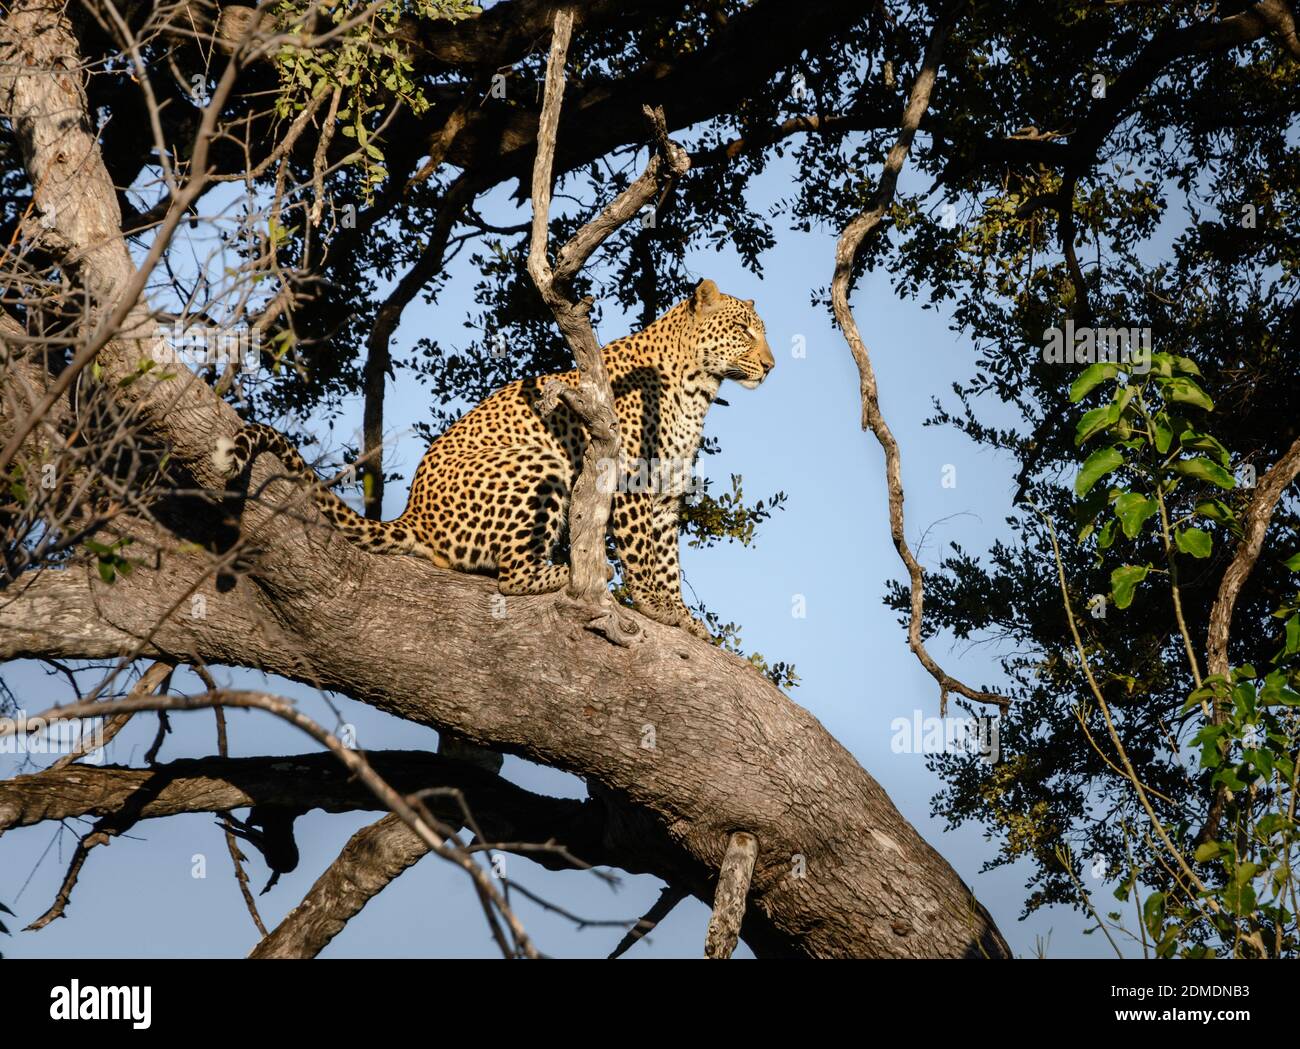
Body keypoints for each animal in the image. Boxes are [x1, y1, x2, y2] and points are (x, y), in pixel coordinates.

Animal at [215, 278, 774, 639]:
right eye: (744, 329)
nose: (770, 365)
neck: (699, 388)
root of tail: (413, 513)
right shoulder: (633, 484)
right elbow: (643, 558)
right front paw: (657, 609)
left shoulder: (666, 492)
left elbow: (669, 559)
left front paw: (682, 614)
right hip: (538, 461)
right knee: (511, 575)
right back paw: (566, 575)